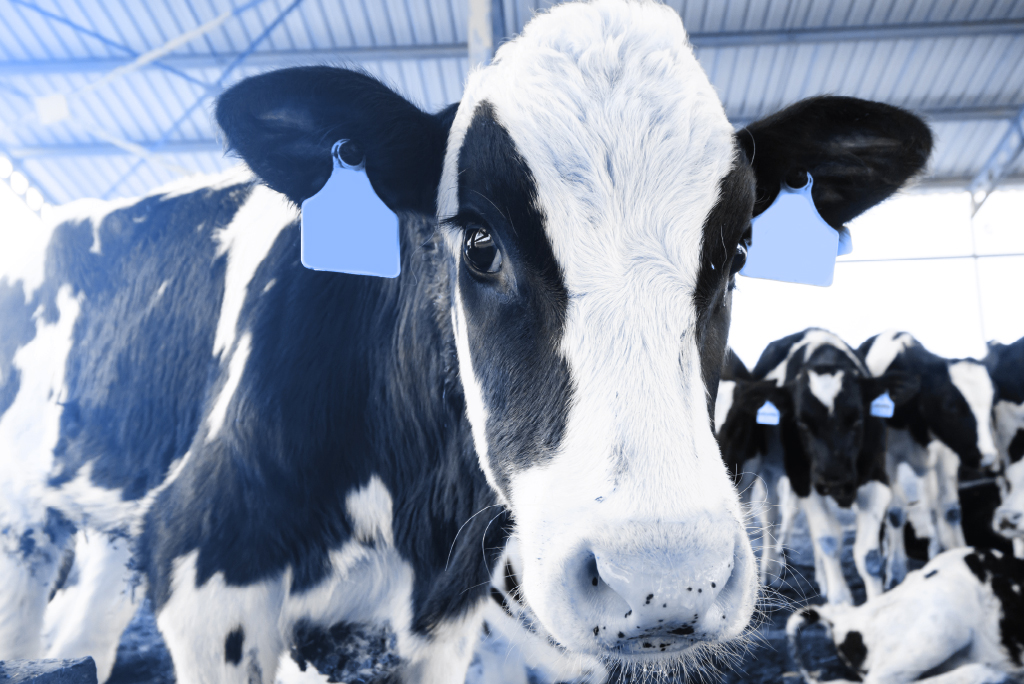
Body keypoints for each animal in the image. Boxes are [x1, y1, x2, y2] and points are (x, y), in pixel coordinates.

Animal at [0, 1, 932, 681]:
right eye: (479, 241)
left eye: (736, 248)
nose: (661, 577)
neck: (408, 507)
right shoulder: (207, 579)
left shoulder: (438, 620)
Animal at [858, 331, 999, 586]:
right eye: (950, 405)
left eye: (992, 402)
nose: (988, 458)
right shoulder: (888, 459)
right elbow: (895, 514)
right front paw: (895, 574)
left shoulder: (946, 454)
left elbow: (950, 510)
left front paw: (956, 552)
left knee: (932, 507)